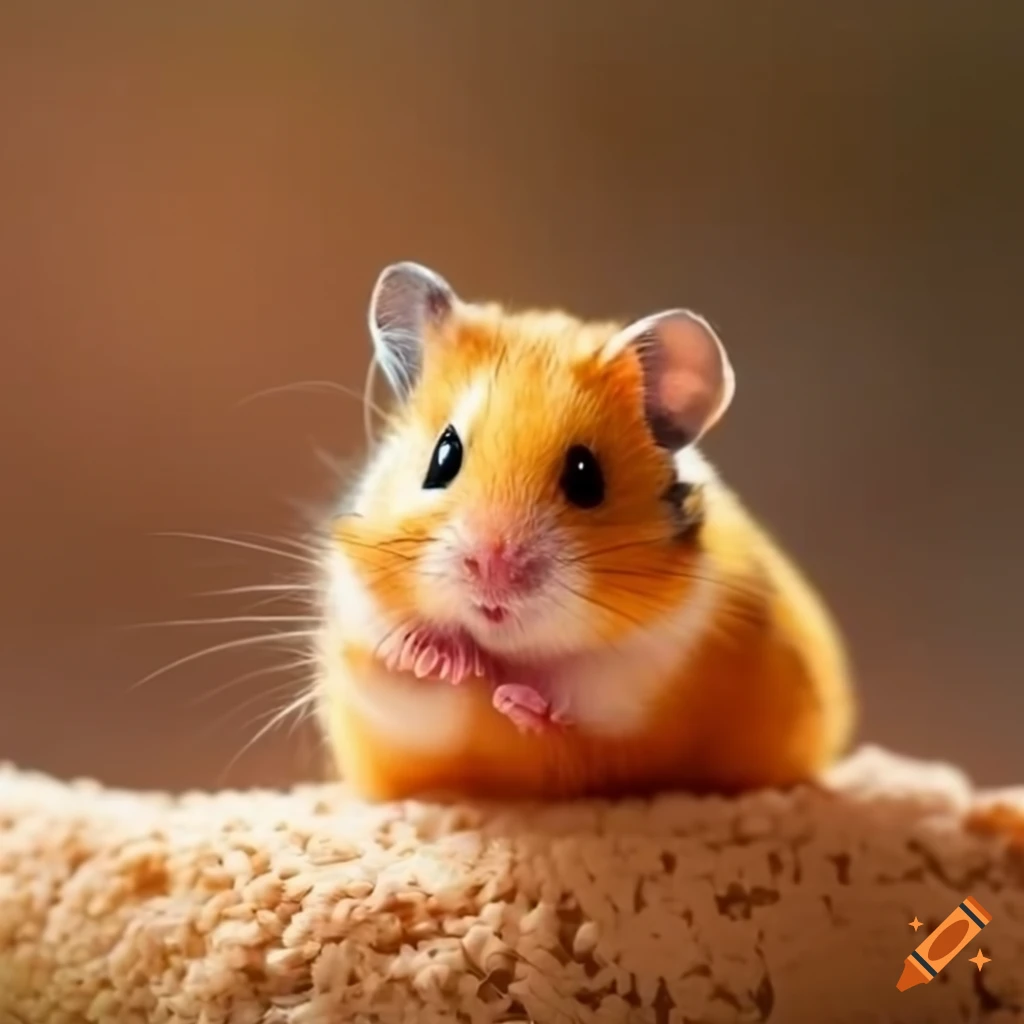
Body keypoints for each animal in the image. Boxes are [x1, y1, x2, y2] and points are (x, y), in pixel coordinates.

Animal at [314, 261, 855, 801]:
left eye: (585, 477)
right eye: (443, 458)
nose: (491, 571)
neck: (511, 652)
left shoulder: (657, 663)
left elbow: (586, 706)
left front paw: (520, 701)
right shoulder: (362, 644)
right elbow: (398, 680)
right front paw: (438, 658)